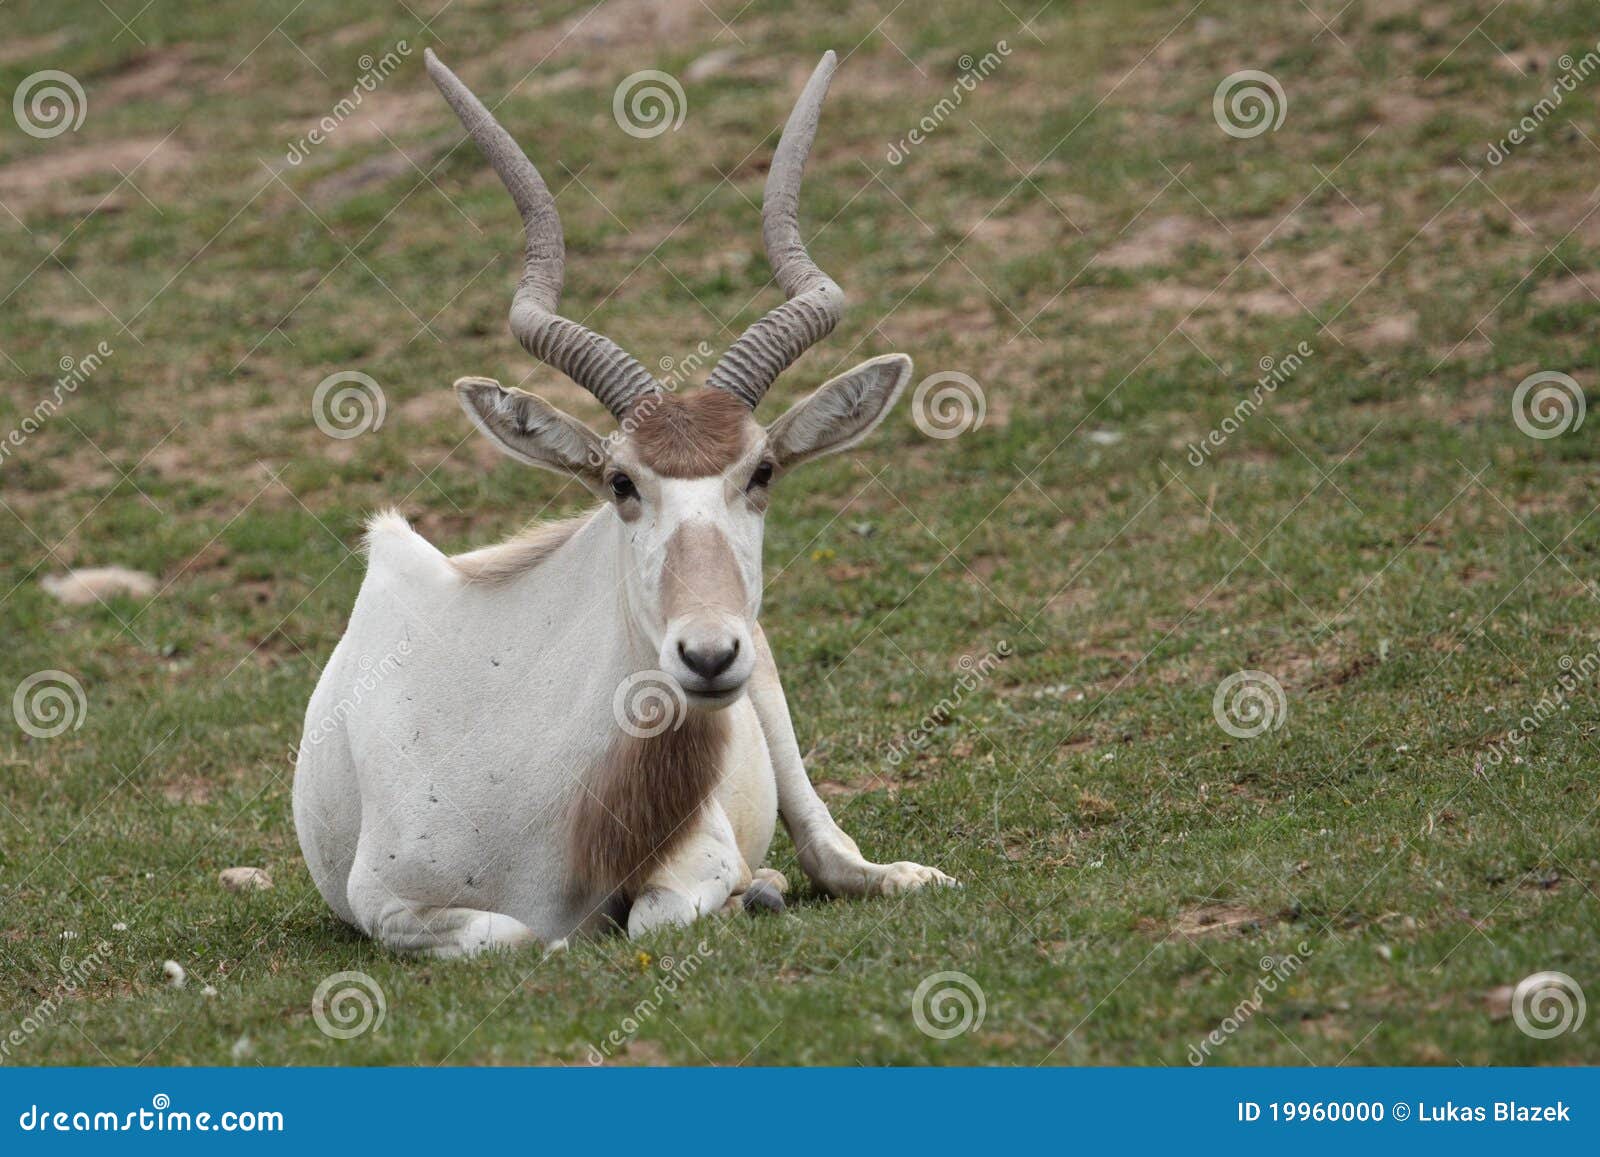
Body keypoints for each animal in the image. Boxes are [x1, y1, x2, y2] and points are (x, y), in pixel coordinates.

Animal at [293, 49, 954, 958]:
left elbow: (652, 916)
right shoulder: (386, 903)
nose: (707, 654)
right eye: (621, 482)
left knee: (828, 852)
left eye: (762, 471)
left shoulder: (701, 850)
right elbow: (524, 935)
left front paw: (745, 892)